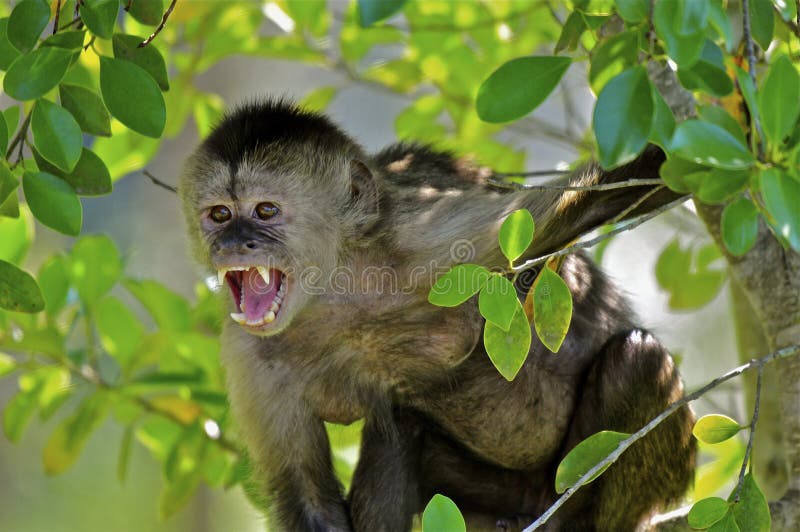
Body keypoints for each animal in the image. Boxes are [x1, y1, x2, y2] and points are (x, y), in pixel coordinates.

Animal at [179, 99, 696, 532]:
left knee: (637, 360)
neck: (337, 288)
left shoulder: (435, 237)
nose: (231, 243)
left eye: (265, 211)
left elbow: (599, 202)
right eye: (219, 215)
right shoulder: (249, 351)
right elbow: (307, 498)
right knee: (402, 425)